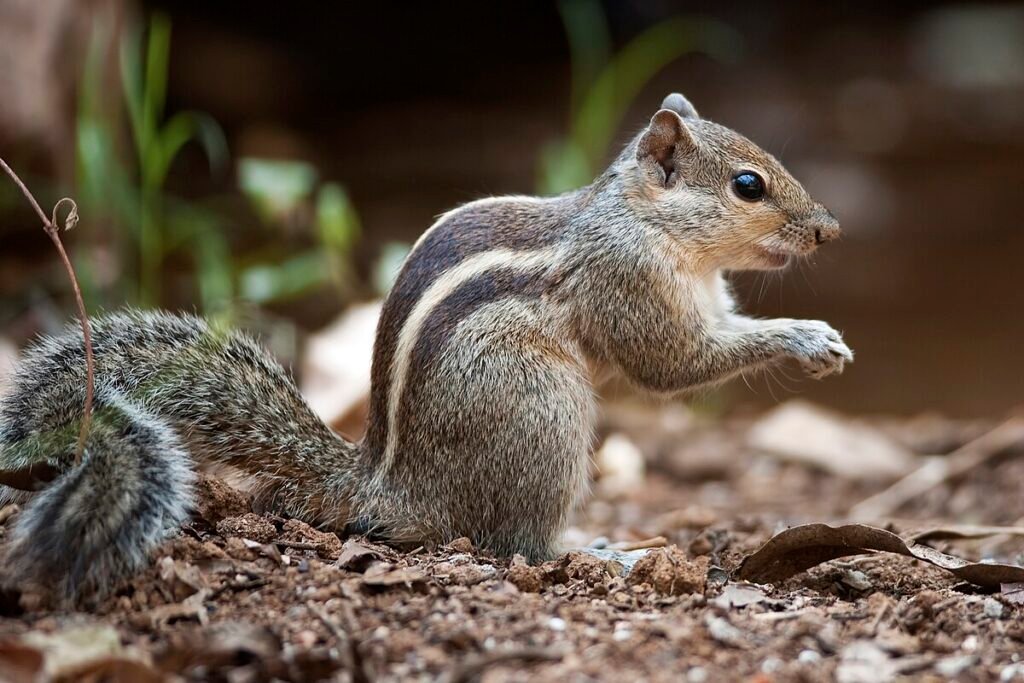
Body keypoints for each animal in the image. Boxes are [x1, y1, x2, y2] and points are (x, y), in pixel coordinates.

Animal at [0, 93, 851, 602]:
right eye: (748, 185)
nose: (829, 230)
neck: (645, 220)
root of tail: (385, 487)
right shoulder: (629, 282)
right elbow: (673, 364)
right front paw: (807, 335)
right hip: (545, 416)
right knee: (516, 542)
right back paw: (599, 550)